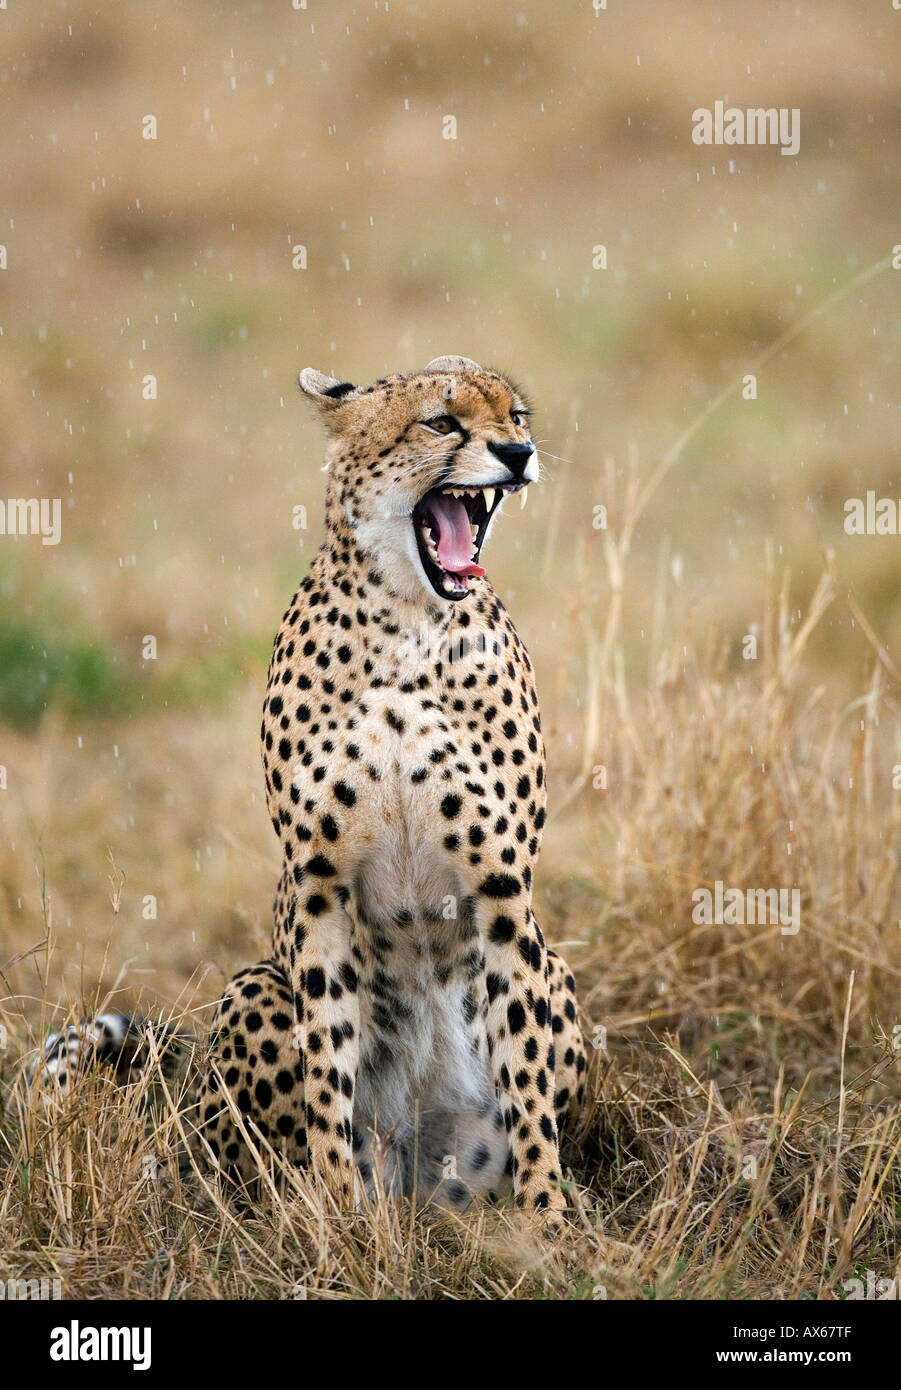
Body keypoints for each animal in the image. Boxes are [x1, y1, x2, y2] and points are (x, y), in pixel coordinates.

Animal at [31, 356, 587, 1222]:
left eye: (516, 415)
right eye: (441, 423)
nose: (519, 453)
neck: (410, 623)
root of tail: (424, 1186)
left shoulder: (502, 892)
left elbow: (524, 1079)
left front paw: (545, 1221)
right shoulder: (320, 888)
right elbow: (328, 1068)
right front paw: (337, 1220)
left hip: (549, 966)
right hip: (253, 986)